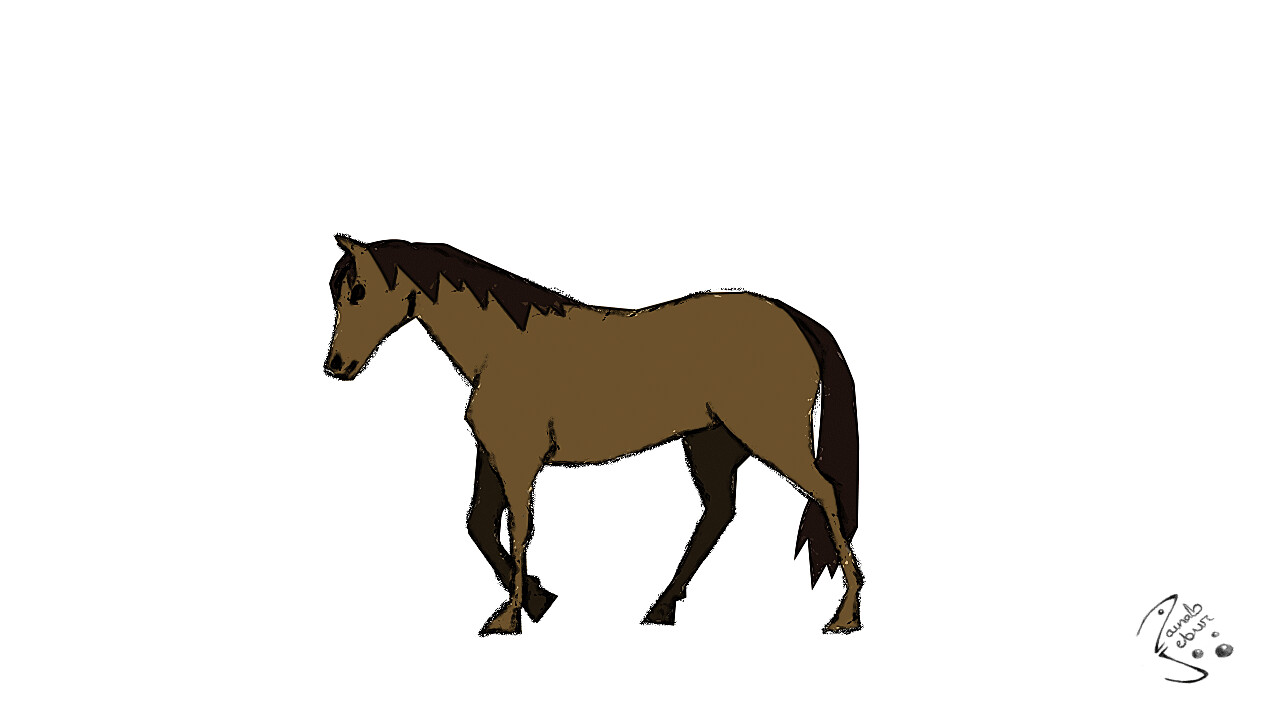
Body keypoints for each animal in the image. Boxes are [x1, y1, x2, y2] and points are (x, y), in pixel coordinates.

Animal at [324, 234, 862, 634]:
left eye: (359, 291)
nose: (336, 366)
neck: (500, 346)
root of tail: (795, 319)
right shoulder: (491, 452)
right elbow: (479, 525)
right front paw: (538, 600)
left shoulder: (518, 459)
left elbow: (518, 529)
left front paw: (510, 618)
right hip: (711, 443)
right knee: (718, 514)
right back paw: (660, 609)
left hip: (772, 438)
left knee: (825, 493)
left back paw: (844, 616)